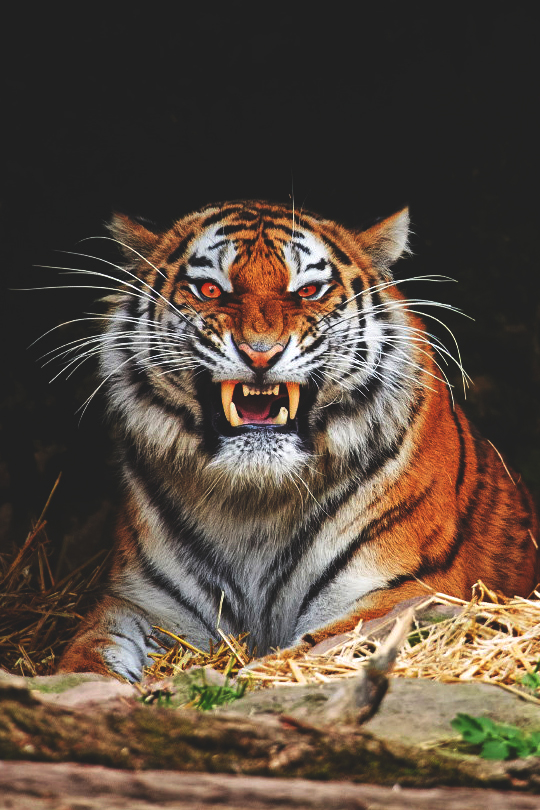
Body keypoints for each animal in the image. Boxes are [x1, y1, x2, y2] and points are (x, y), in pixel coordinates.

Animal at [58, 200, 539, 681]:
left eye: (308, 291)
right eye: (210, 289)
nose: (260, 352)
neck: (253, 502)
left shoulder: (405, 590)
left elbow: (302, 656)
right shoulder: (142, 603)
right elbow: (90, 652)